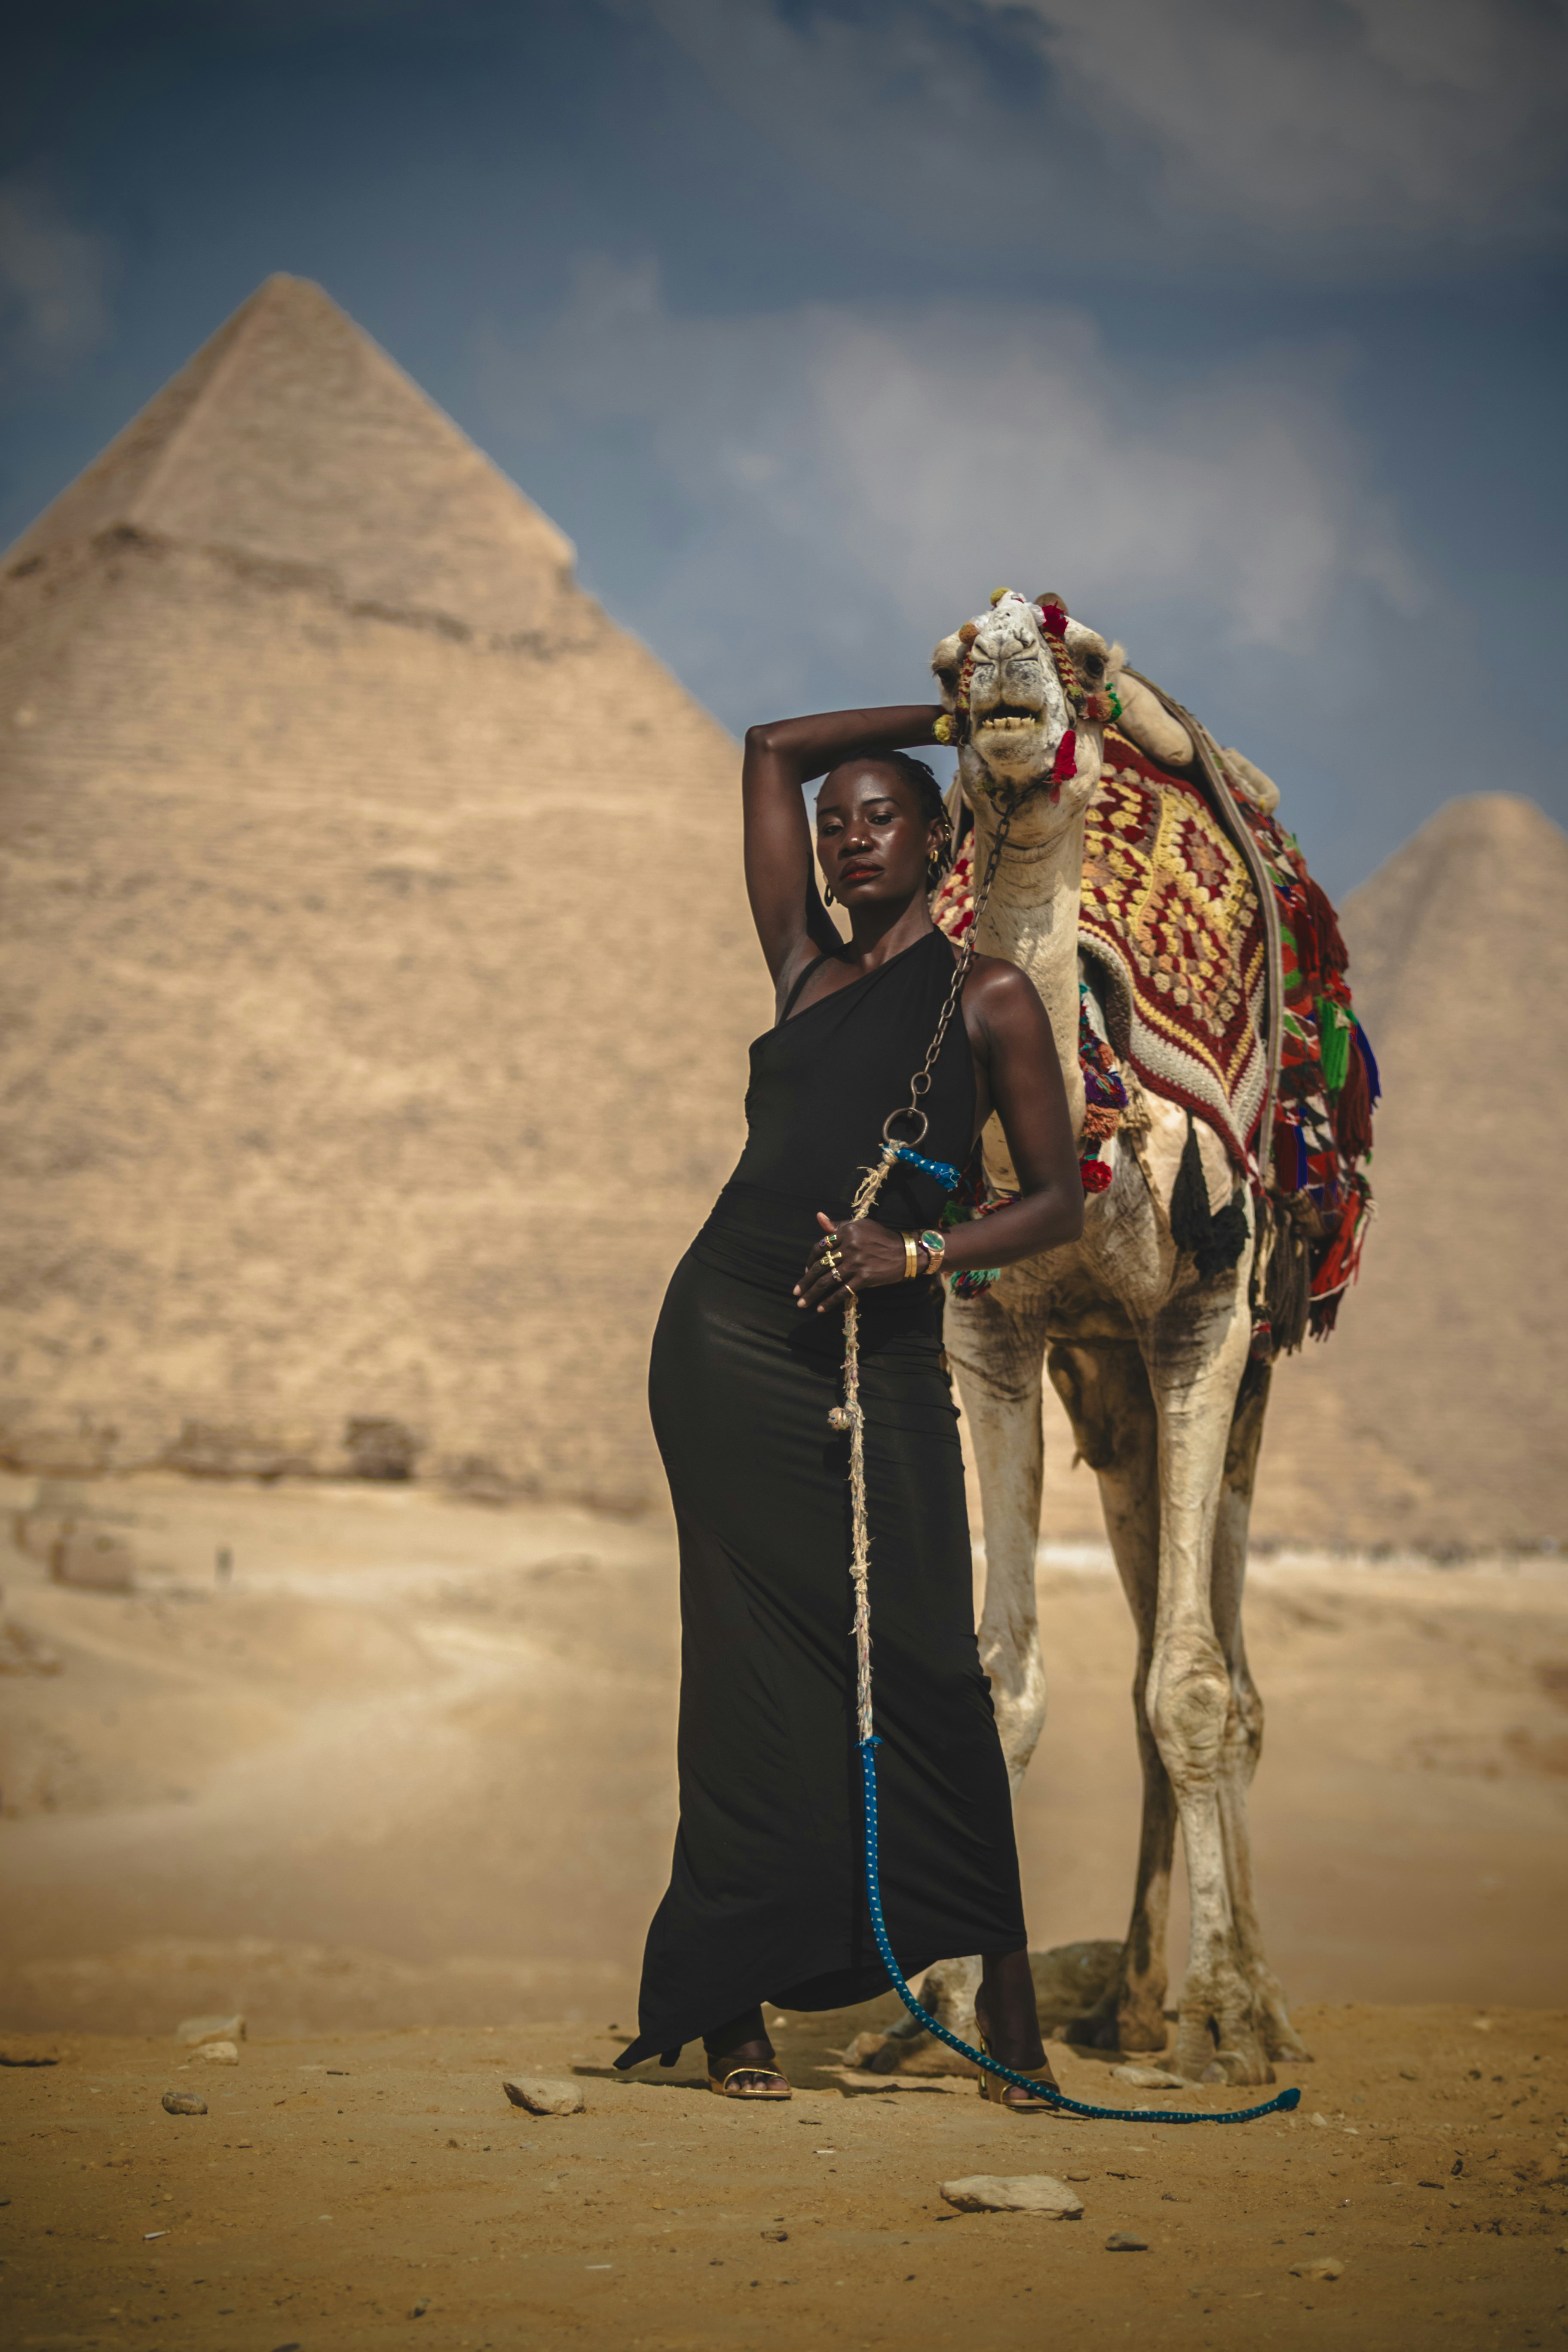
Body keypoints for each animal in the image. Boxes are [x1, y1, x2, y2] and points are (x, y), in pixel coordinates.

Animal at [904, 590, 1314, 2087]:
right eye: (949, 660)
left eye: (1070, 652)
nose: (1012, 687)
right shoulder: (992, 1326)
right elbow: (1002, 1679)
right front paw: (951, 2008)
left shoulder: (1203, 1307)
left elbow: (1191, 1691)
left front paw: (1234, 2020)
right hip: (1107, 1380)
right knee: (1153, 1638)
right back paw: (1129, 2001)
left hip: (1246, 1366)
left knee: (1220, 1677)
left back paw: (1230, 2001)